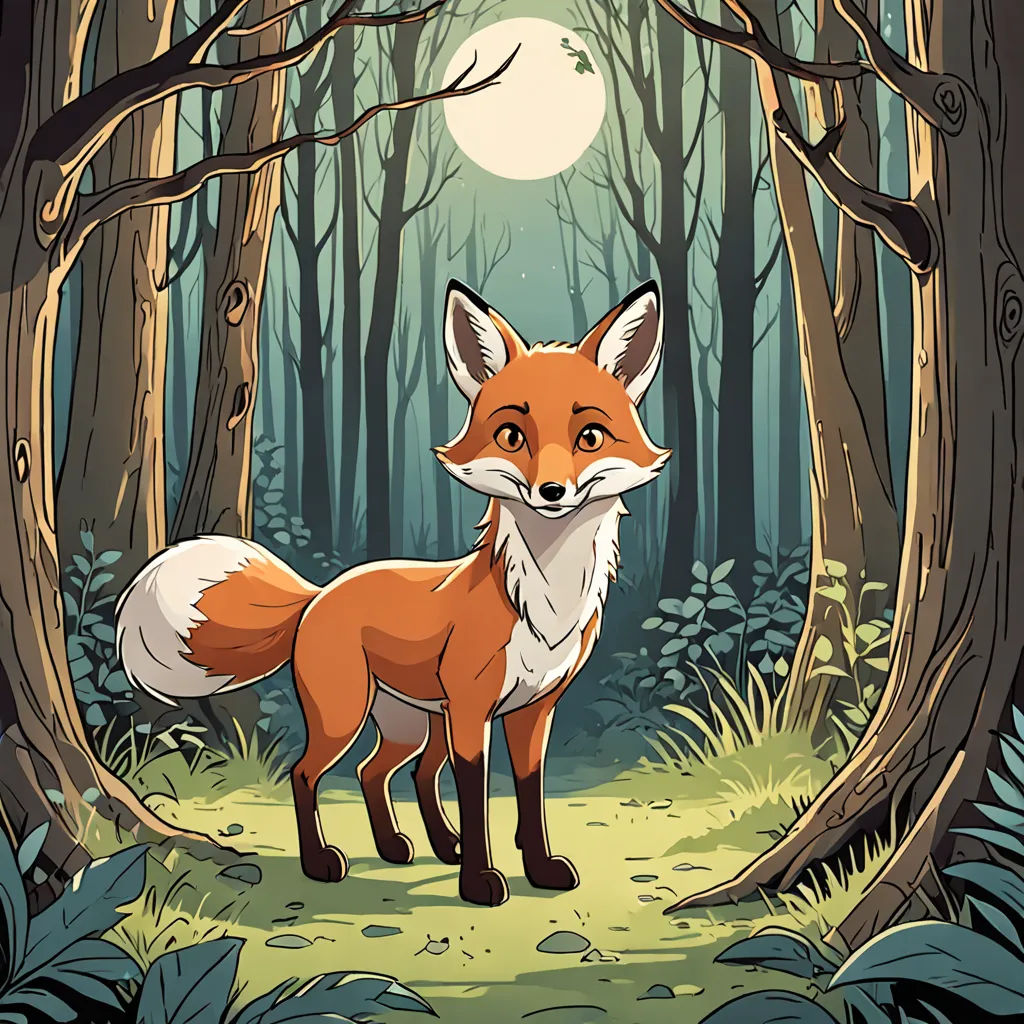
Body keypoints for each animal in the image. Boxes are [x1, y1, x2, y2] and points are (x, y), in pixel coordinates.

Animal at [116, 279, 669, 907]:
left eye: (590, 437)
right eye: (511, 435)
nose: (552, 491)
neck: (545, 603)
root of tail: (320, 593)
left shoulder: (534, 712)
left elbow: (530, 797)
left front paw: (539, 869)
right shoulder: (473, 713)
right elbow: (477, 798)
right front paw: (479, 882)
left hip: (412, 722)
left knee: (385, 772)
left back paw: (415, 846)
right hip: (349, 715)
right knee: (309, 773)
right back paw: (323, 863)